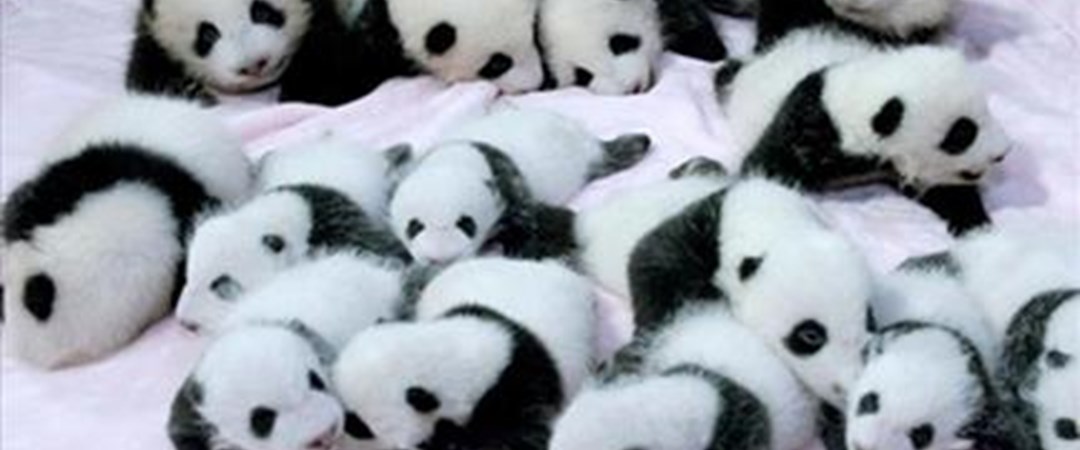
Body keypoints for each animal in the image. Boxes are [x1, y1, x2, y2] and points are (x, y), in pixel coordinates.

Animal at [389, 109, 651, 264]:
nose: (440, 259)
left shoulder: (508, 182)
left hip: (585, 158)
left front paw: (521, 248)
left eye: (467, 224)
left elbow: (528, 220)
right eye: (414, 227)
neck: (455, 158)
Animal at [723, 32, 1010, 234]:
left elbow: (945, 190)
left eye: (987, 112)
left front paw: (974, 225)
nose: (1002, 153)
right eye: (962, 134)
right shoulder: (806, 127)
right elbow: (765, 166)